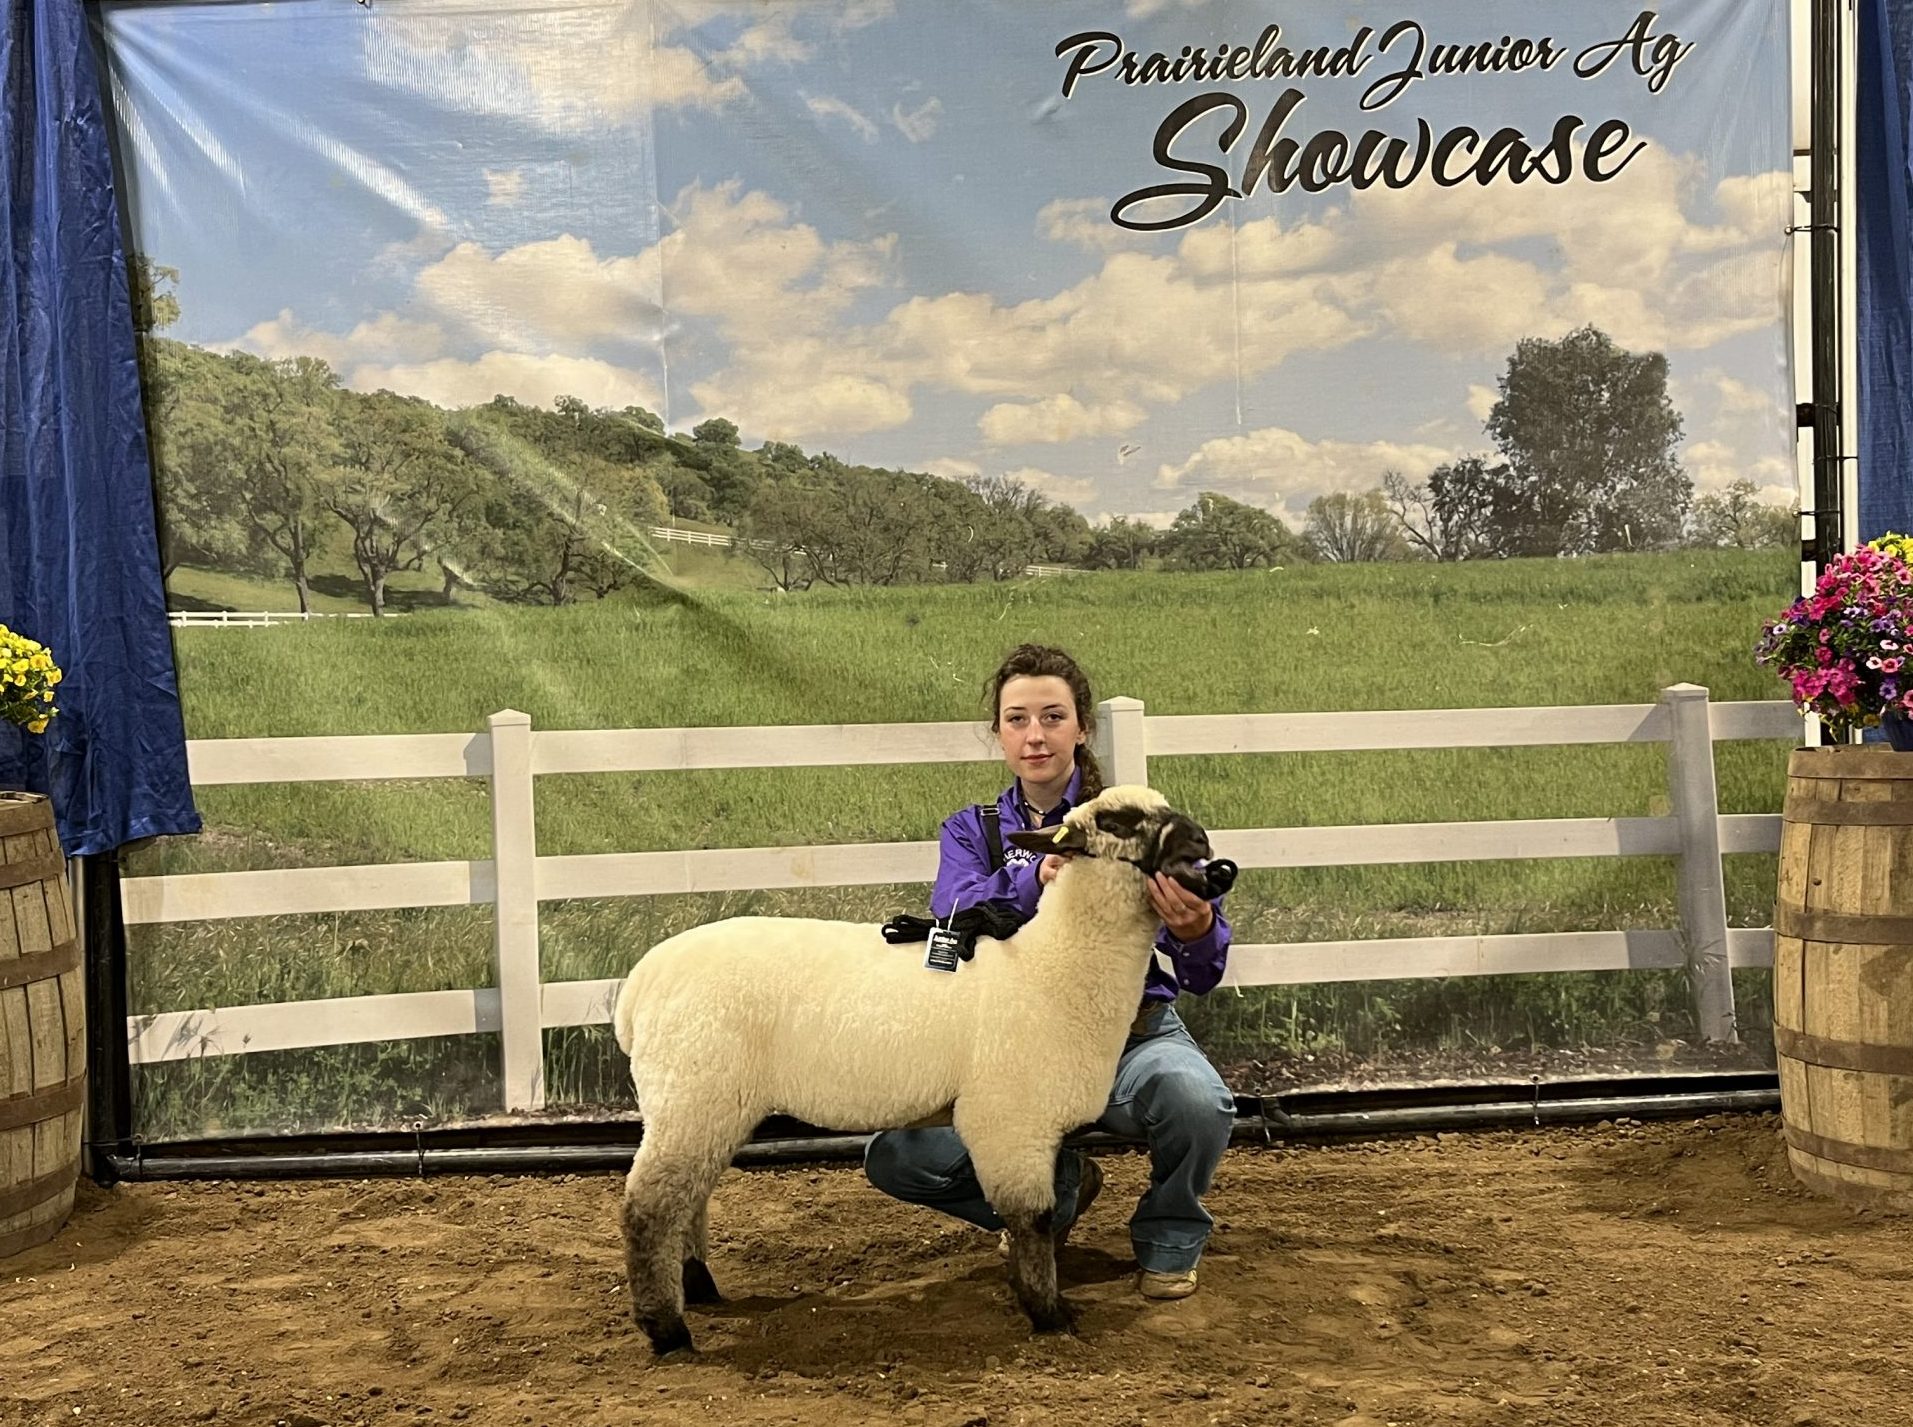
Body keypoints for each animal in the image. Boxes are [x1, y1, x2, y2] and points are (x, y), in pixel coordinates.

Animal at [610, 783, 1222, 1356]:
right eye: (1118, 821)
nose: (1203, 844)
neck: (1051, 970)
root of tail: (639, 985)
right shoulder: (1010, 1121)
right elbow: (1032, 1220)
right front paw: (1050, 1315)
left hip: (706, 1101)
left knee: (690, 1195)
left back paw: (699, 1287)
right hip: (694, 1089)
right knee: (650, 1207)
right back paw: (668, 1331)